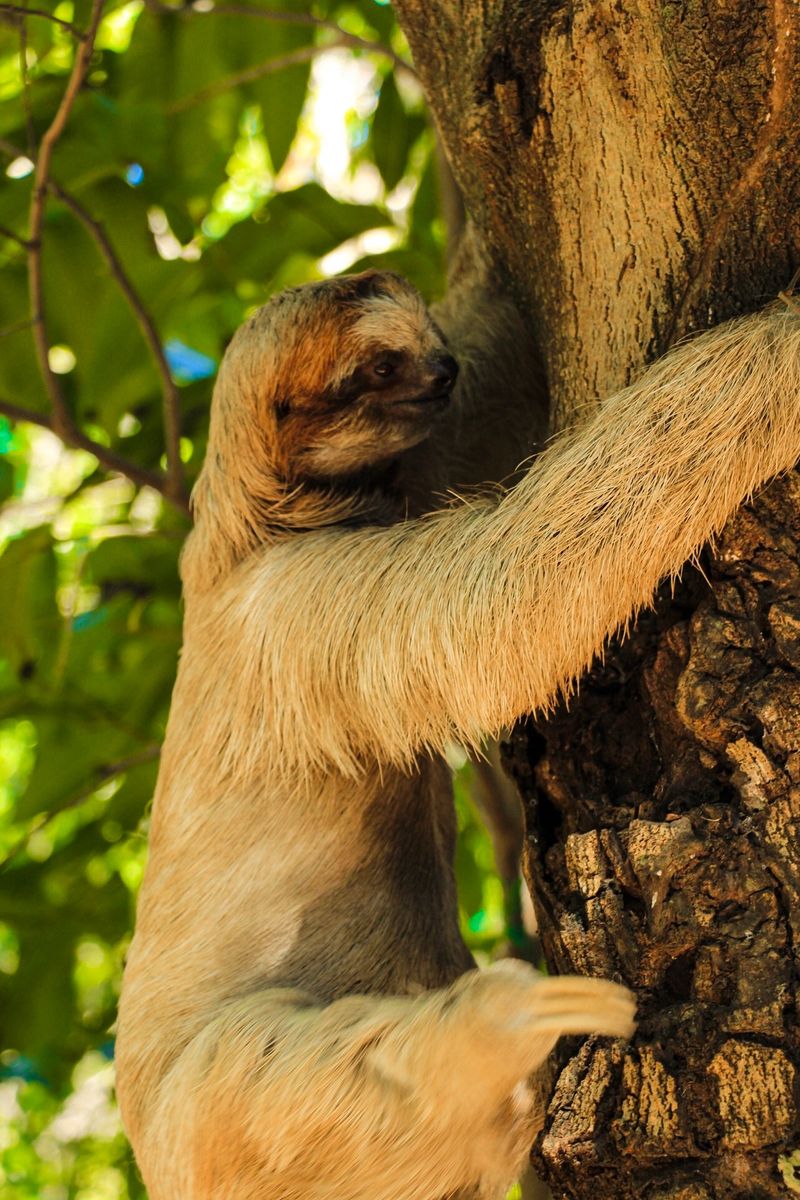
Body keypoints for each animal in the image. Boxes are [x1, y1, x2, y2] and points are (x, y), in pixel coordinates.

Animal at [115, 263, 800, 1200]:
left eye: (428, 336)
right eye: (376, 369)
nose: (439, 370)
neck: (248, 525)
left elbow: (488, 399)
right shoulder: (296, 609)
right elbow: (504, 603)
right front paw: (784, 345)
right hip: (201, 1128)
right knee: (266, 1064)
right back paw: (496, 1031)